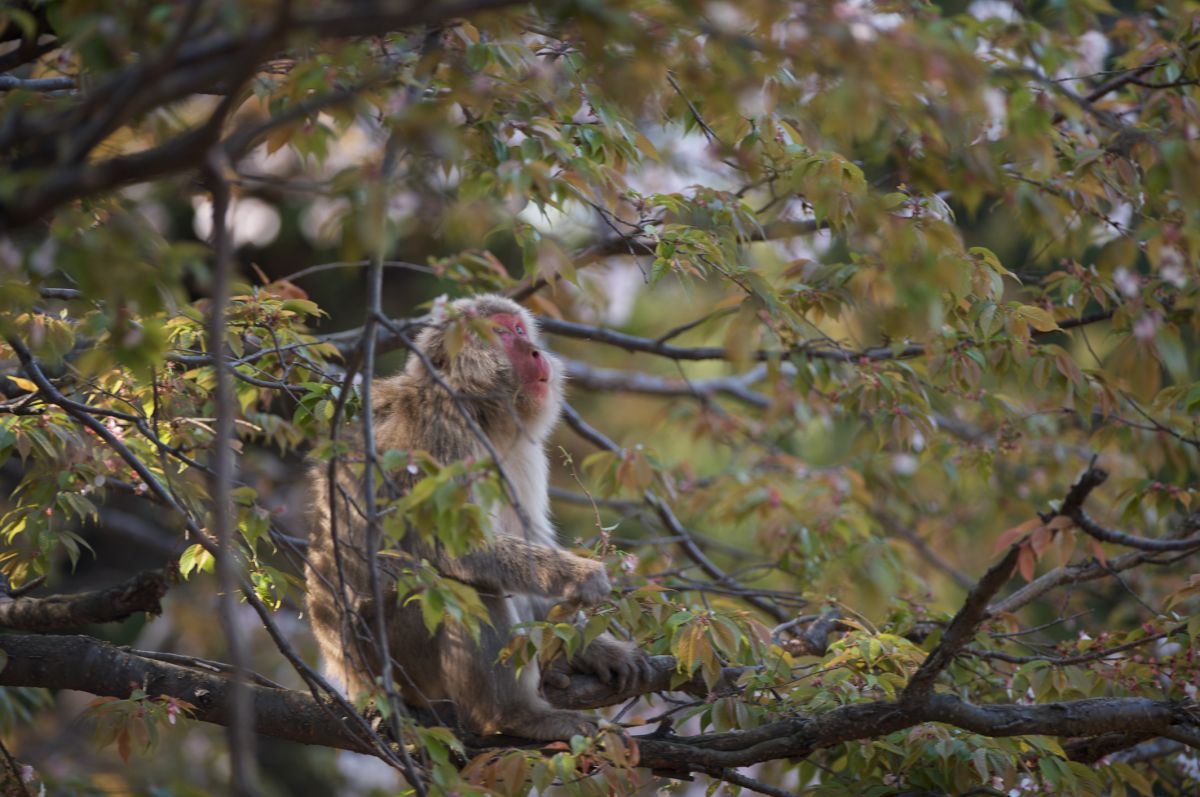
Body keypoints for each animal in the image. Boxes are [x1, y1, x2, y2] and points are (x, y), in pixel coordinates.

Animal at [306, 294, 651, 740]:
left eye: (520, 330)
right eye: (502, 334)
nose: (535, 351)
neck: (482, 414)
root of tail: (346, 671)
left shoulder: (522, 452)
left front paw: (593, 649)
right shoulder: (442, 438)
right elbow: (454, 549)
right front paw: (581, 577)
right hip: (396, 659)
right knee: (466, 585)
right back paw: (515, 716)